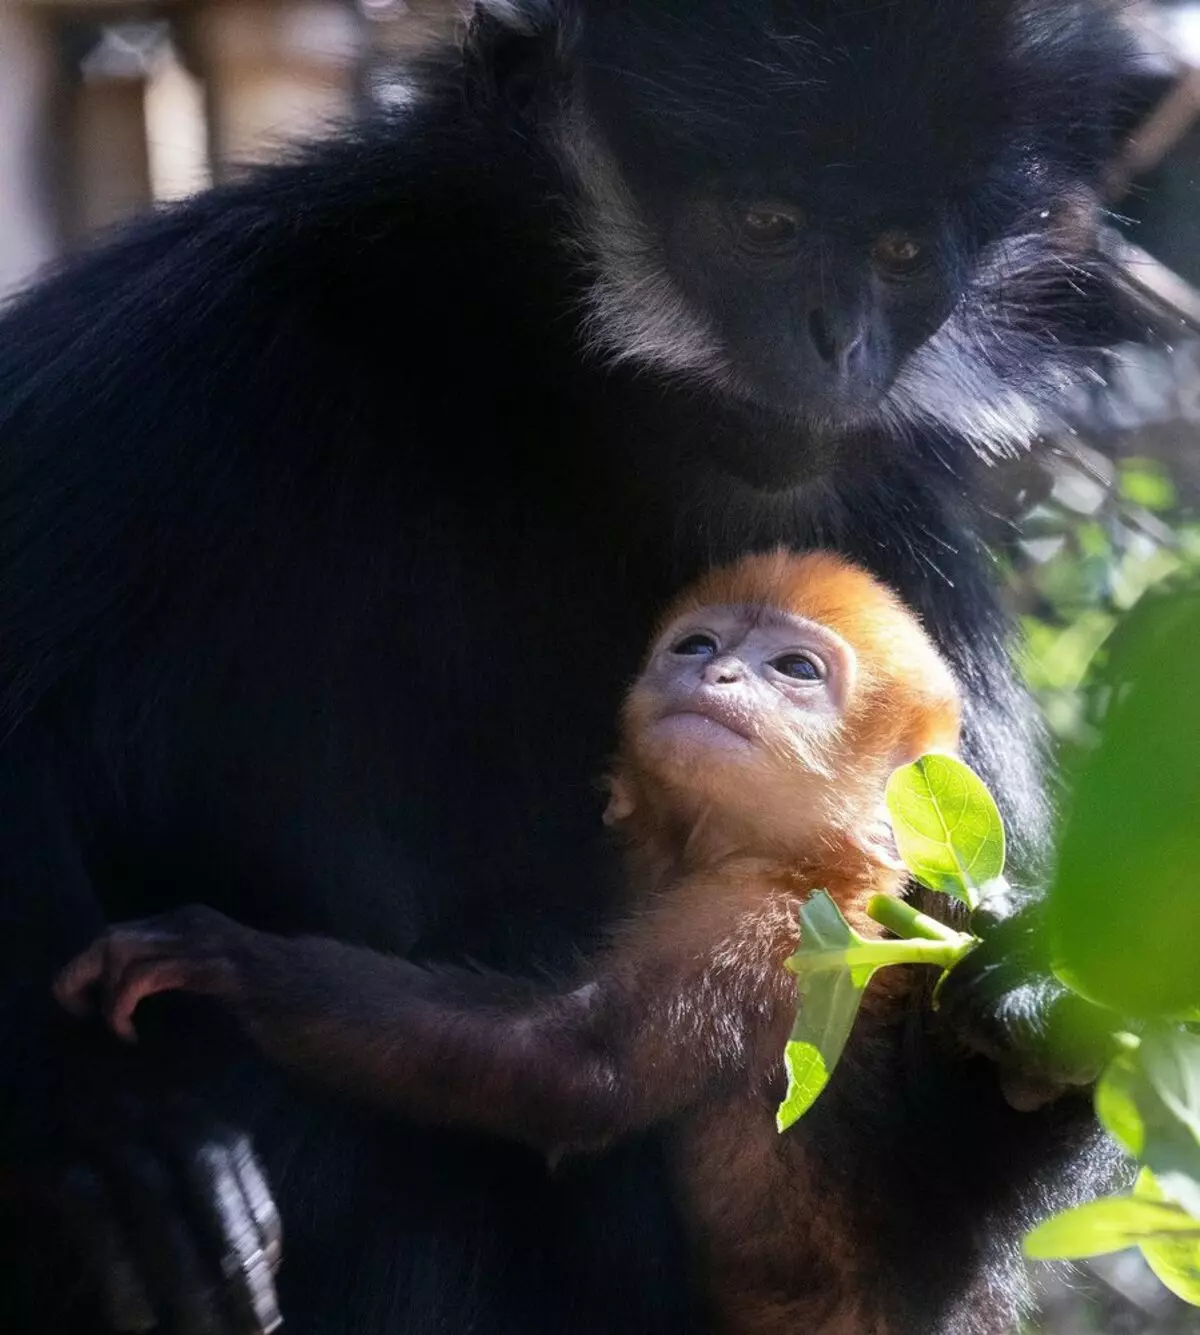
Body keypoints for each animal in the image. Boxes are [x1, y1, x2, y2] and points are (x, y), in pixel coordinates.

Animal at [58, 547, 966, 1329]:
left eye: (796, 669)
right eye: (697, 643)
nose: (715, 673)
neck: (782, 854)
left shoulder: (767, 923)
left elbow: (574, 1066)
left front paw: (228, 958)